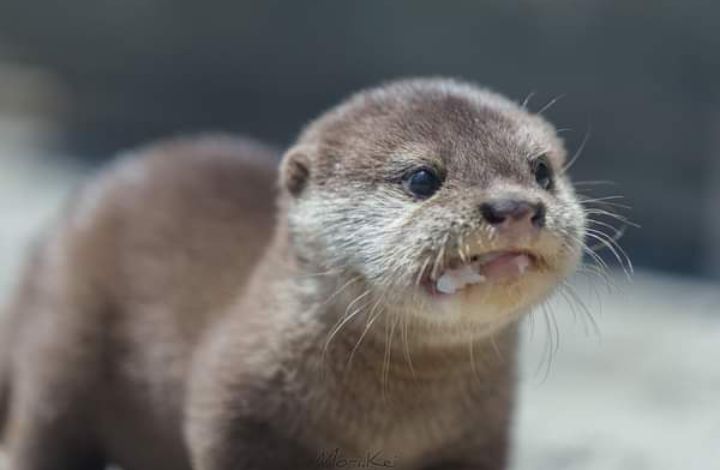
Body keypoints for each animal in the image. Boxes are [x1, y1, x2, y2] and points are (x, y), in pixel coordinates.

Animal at [0, 78, 586, 470]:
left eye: (541, 170)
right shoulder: (232, 412)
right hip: (64, 337)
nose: (514, 207)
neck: (391, 425)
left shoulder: (479, 438)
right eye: (422, 178)